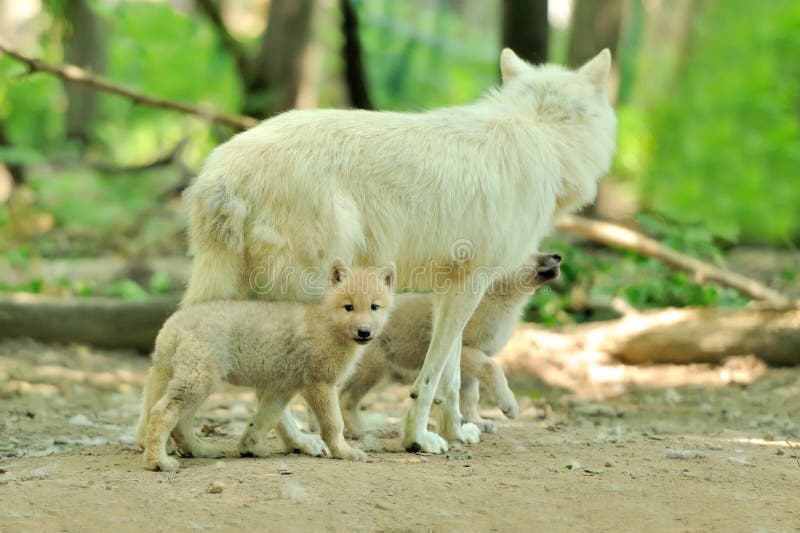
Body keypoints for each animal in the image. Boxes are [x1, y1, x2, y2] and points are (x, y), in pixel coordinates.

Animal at [136, 262, 395, 471]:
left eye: (374, 307)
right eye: (349, 307)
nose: (364, 331)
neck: (329, 324)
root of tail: (173, 324)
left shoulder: (283, 388)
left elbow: (265, 419)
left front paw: (250, 447)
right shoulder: (321, 384)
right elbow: (334, 424)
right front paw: (345, 452)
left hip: (191, 382)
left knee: (179, 422)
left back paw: (199, 450)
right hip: (198, 382)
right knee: (161, 413)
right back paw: (158, 462)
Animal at [339, 253, 560, 438]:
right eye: (530, 253)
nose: (558, 256)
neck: (498, 303)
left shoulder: (471, 366)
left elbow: (470, 396)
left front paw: (477, 422)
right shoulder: (469, 351)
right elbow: (493, 368)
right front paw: (509, 405)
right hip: (372, 370)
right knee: (346, 399)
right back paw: (361, 431)